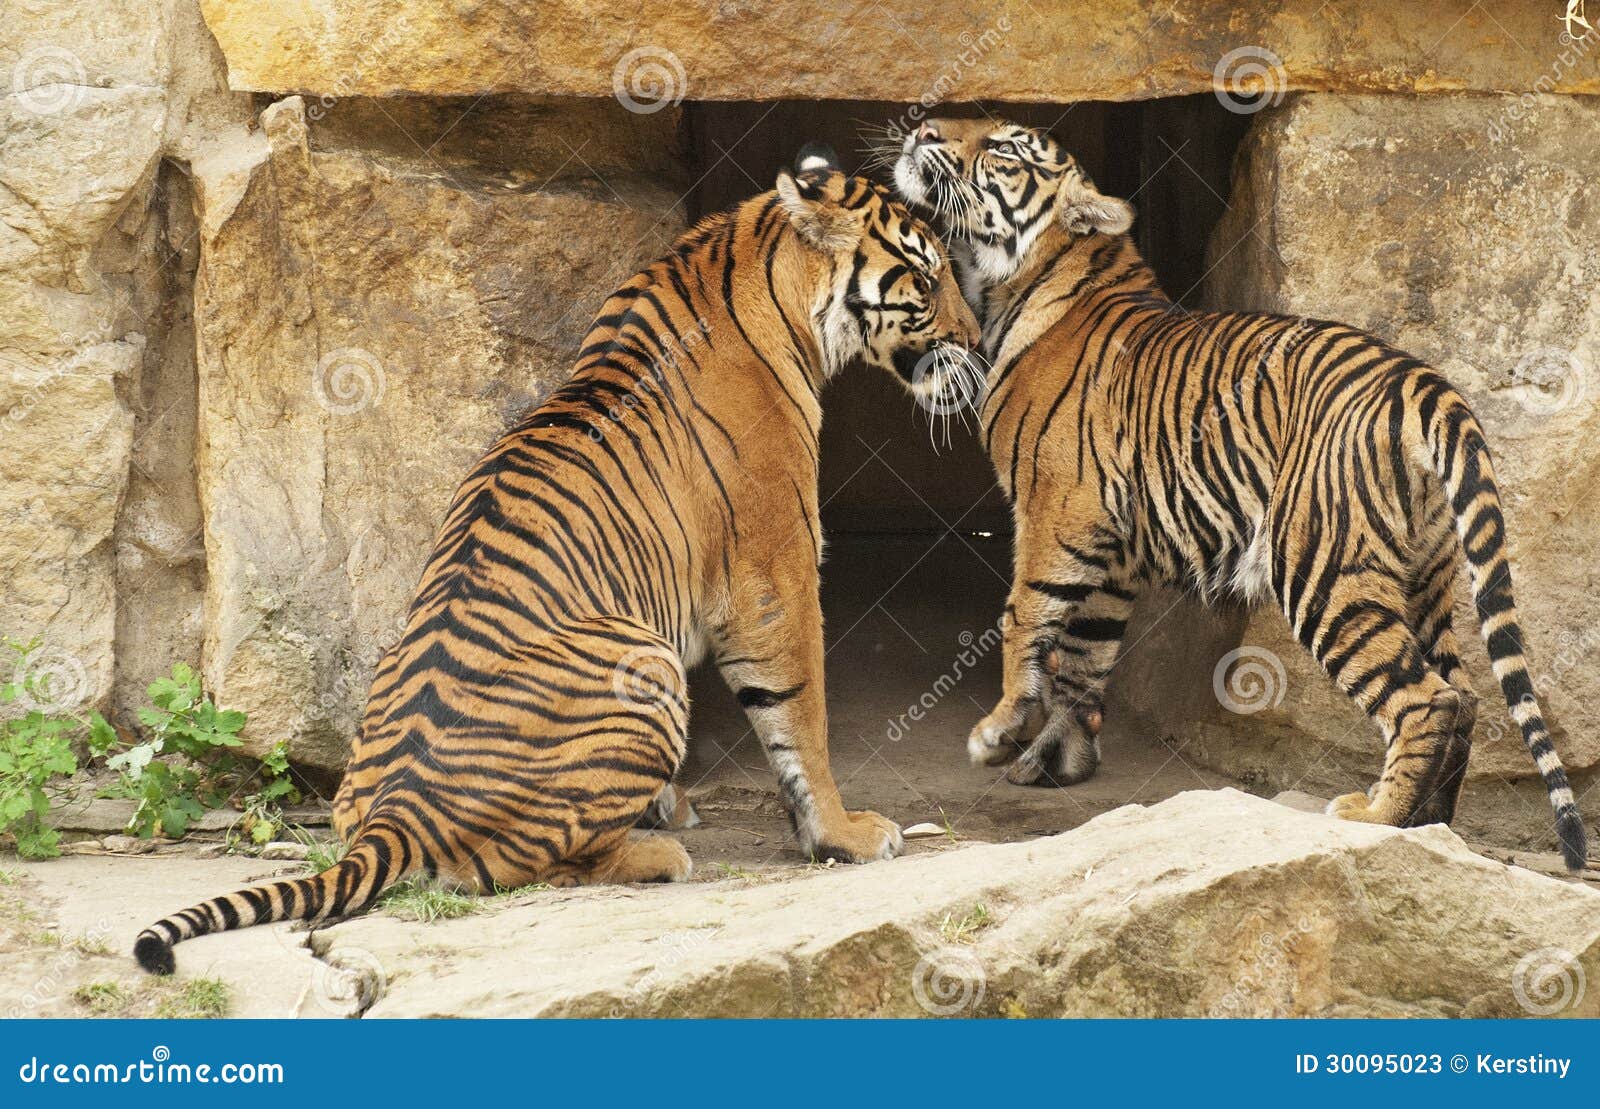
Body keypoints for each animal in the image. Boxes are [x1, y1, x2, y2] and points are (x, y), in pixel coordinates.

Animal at [134, 145, 980, 974]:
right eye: (928, 275)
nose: (975, 339)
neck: (755, 263)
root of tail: (394, 815)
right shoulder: (775, 573)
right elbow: (801, 717)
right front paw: (842, 833)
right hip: (646, 663)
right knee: (527, 863)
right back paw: (656, 852)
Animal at [891, 117, 1588, 868]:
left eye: (1002, 147)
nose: (922, 128)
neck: (1017, 284)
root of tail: (1423, 382)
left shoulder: (1057, 509)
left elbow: (1027, 615)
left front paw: (997, 732)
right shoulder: (1109, 541)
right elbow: (1084, 649)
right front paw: (1058, 760)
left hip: (1321, 566)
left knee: (1426, 699)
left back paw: (1374, 817)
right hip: (1424, 572)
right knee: (1464, 696)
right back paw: (1430, 823)